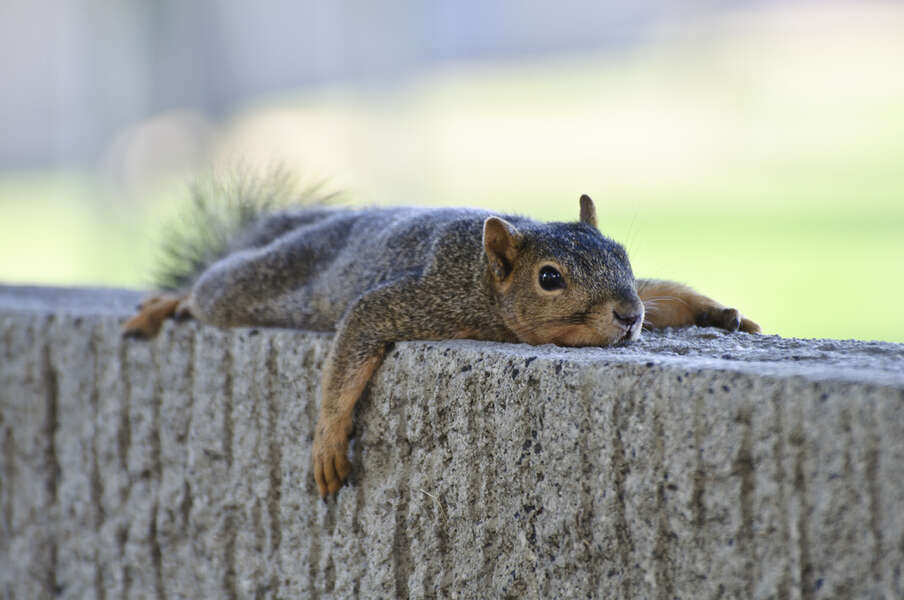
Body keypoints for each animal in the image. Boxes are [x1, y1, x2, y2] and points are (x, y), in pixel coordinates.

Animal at [123, 171, 760, 497]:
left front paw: (717, 312)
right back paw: (170, 302)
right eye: (549, 278)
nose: (628, 316)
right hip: (254, 286)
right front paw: (327, 442)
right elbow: (356, 336)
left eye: (623, 255)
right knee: (210, 289)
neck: (484, 281)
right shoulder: (417, 300)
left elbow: (662, 291)